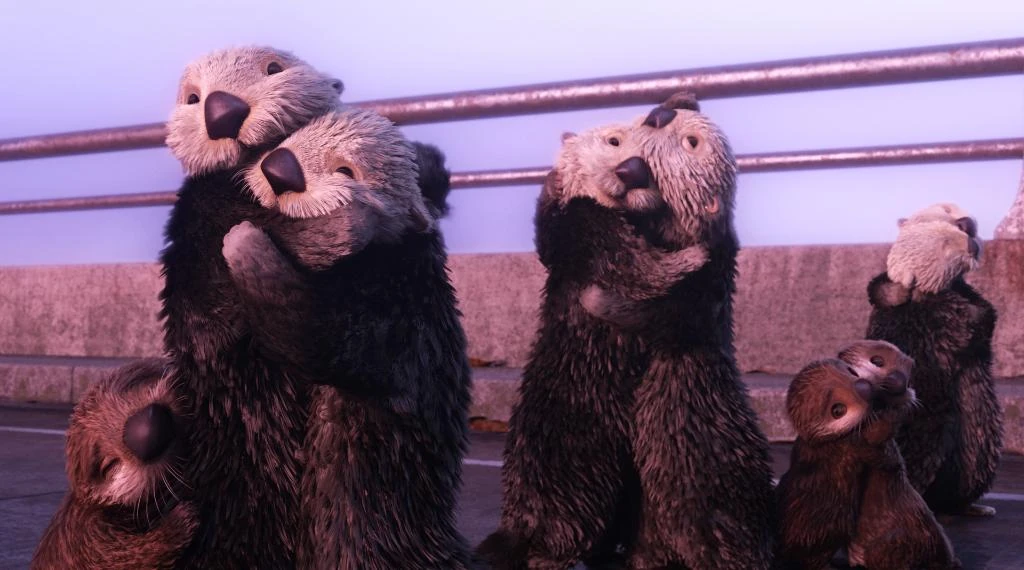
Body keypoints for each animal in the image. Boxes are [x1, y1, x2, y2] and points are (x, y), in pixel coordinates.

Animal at [31, 359, 196, 570]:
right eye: (109, 465)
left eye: (133, 385)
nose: (145, 430)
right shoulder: (89, 536)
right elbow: (123, 558)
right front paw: (181, 519)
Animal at [218, 108, 474, 569]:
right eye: (301, 132)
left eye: (345, 170)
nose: (278, 168)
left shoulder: (396, 314)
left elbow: (319, 341)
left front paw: (243, 242)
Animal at [476, 100, 717, 570]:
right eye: (614, 140)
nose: (632, 170)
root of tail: (517, 518)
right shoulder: (588, 226)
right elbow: (637, 267)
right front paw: (694, 255)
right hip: (579, 481)